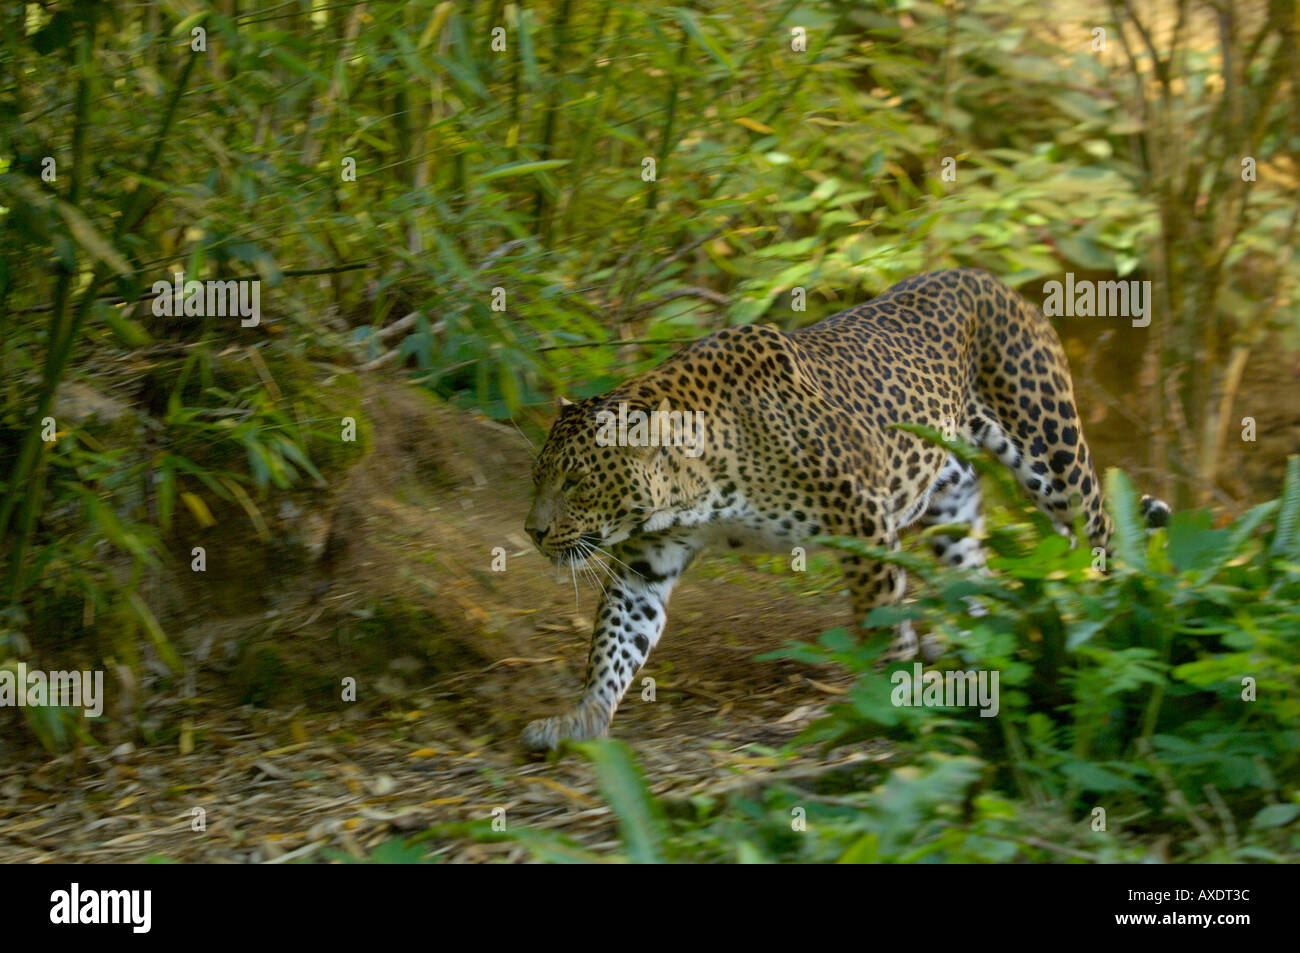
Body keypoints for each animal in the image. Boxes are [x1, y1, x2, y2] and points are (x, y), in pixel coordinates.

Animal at [522, 268, 1169, 750]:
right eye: (538, 477)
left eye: (576, 481)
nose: (532, 533)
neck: (694, 488)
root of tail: (987, 278)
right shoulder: (646, 564)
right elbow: (616, 642)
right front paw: (583, 718)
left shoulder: (862, 517)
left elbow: (880, 614)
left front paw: (894, 701)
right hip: (948, 501)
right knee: (976, 576)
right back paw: (986, 651)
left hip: (1050, 450)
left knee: (1099, 526)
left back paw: (1111, 614)